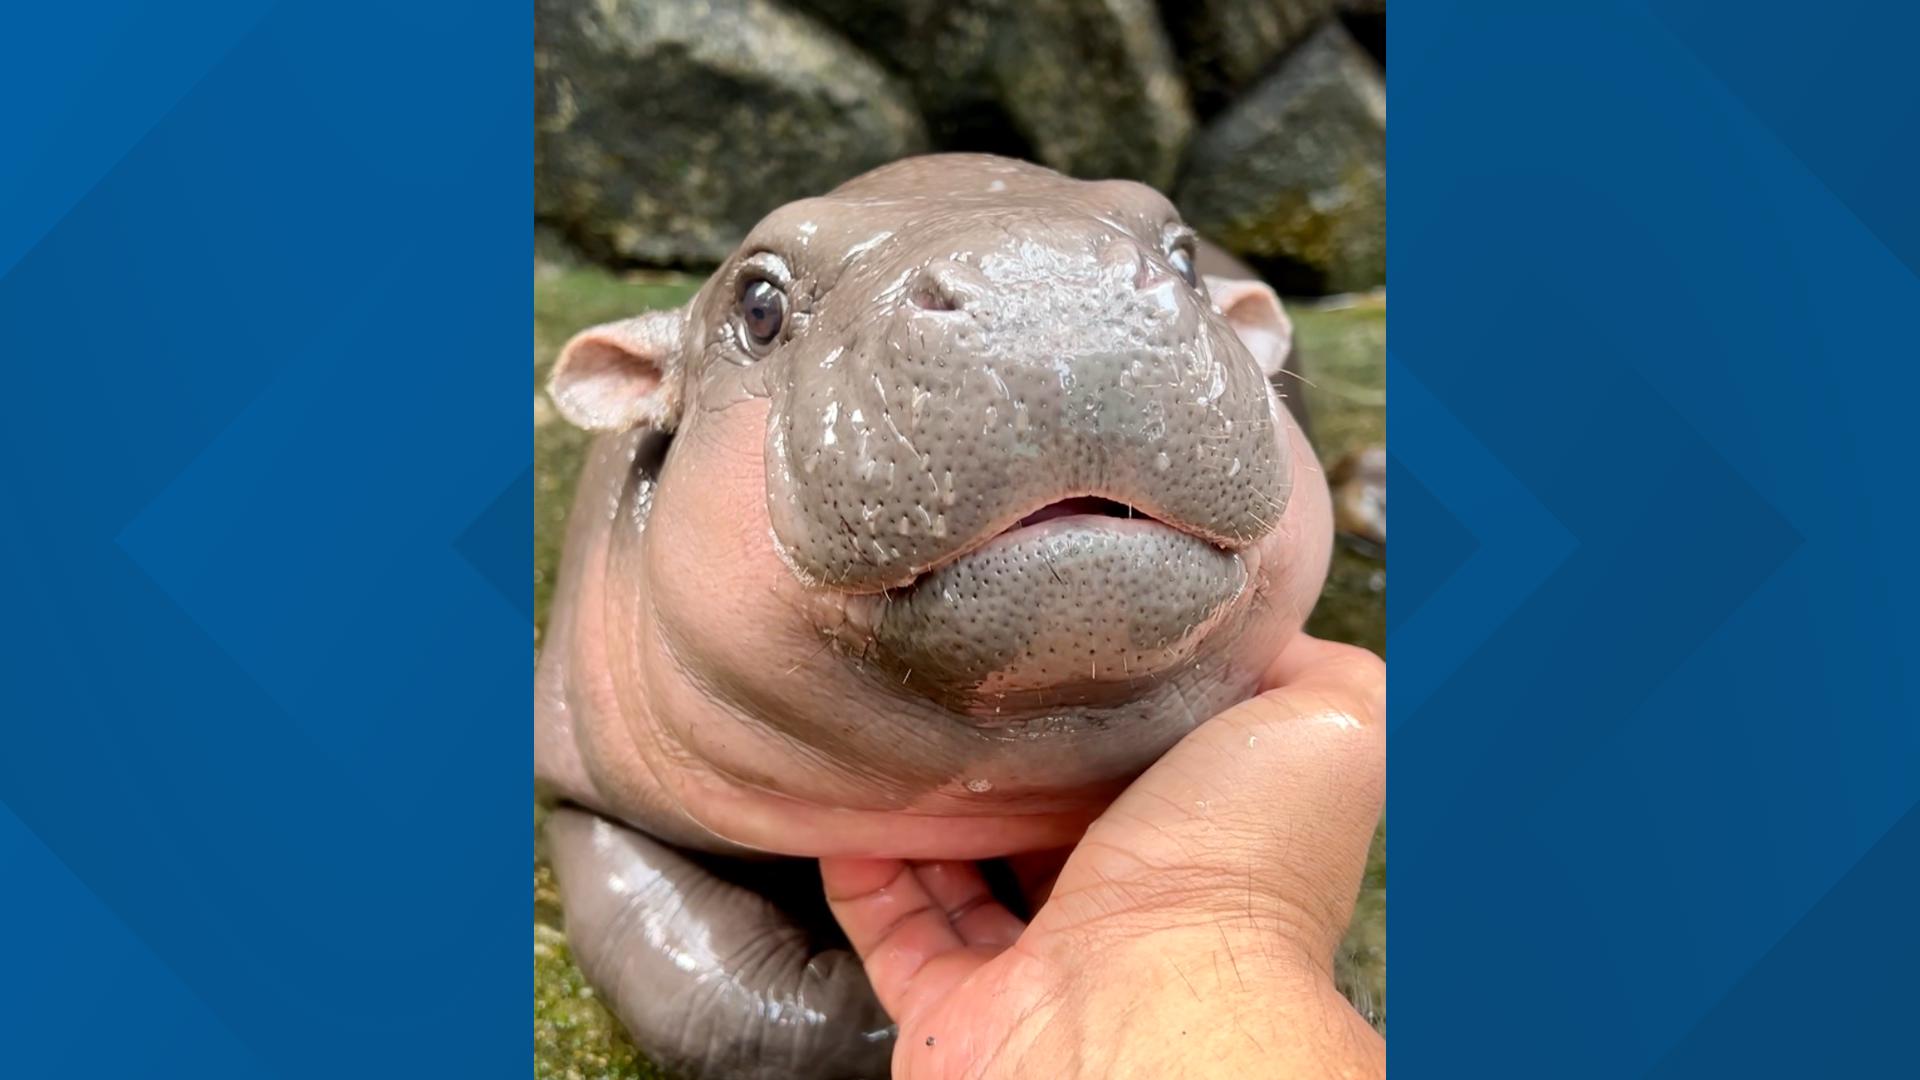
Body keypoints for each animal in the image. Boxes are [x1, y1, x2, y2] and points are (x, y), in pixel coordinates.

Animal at [536, 153, 1334, 1079]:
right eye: (758, 304)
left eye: (1187, 258)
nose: (1043, 278)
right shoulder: (581, 791)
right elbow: (700, 990)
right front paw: (877, 1010)